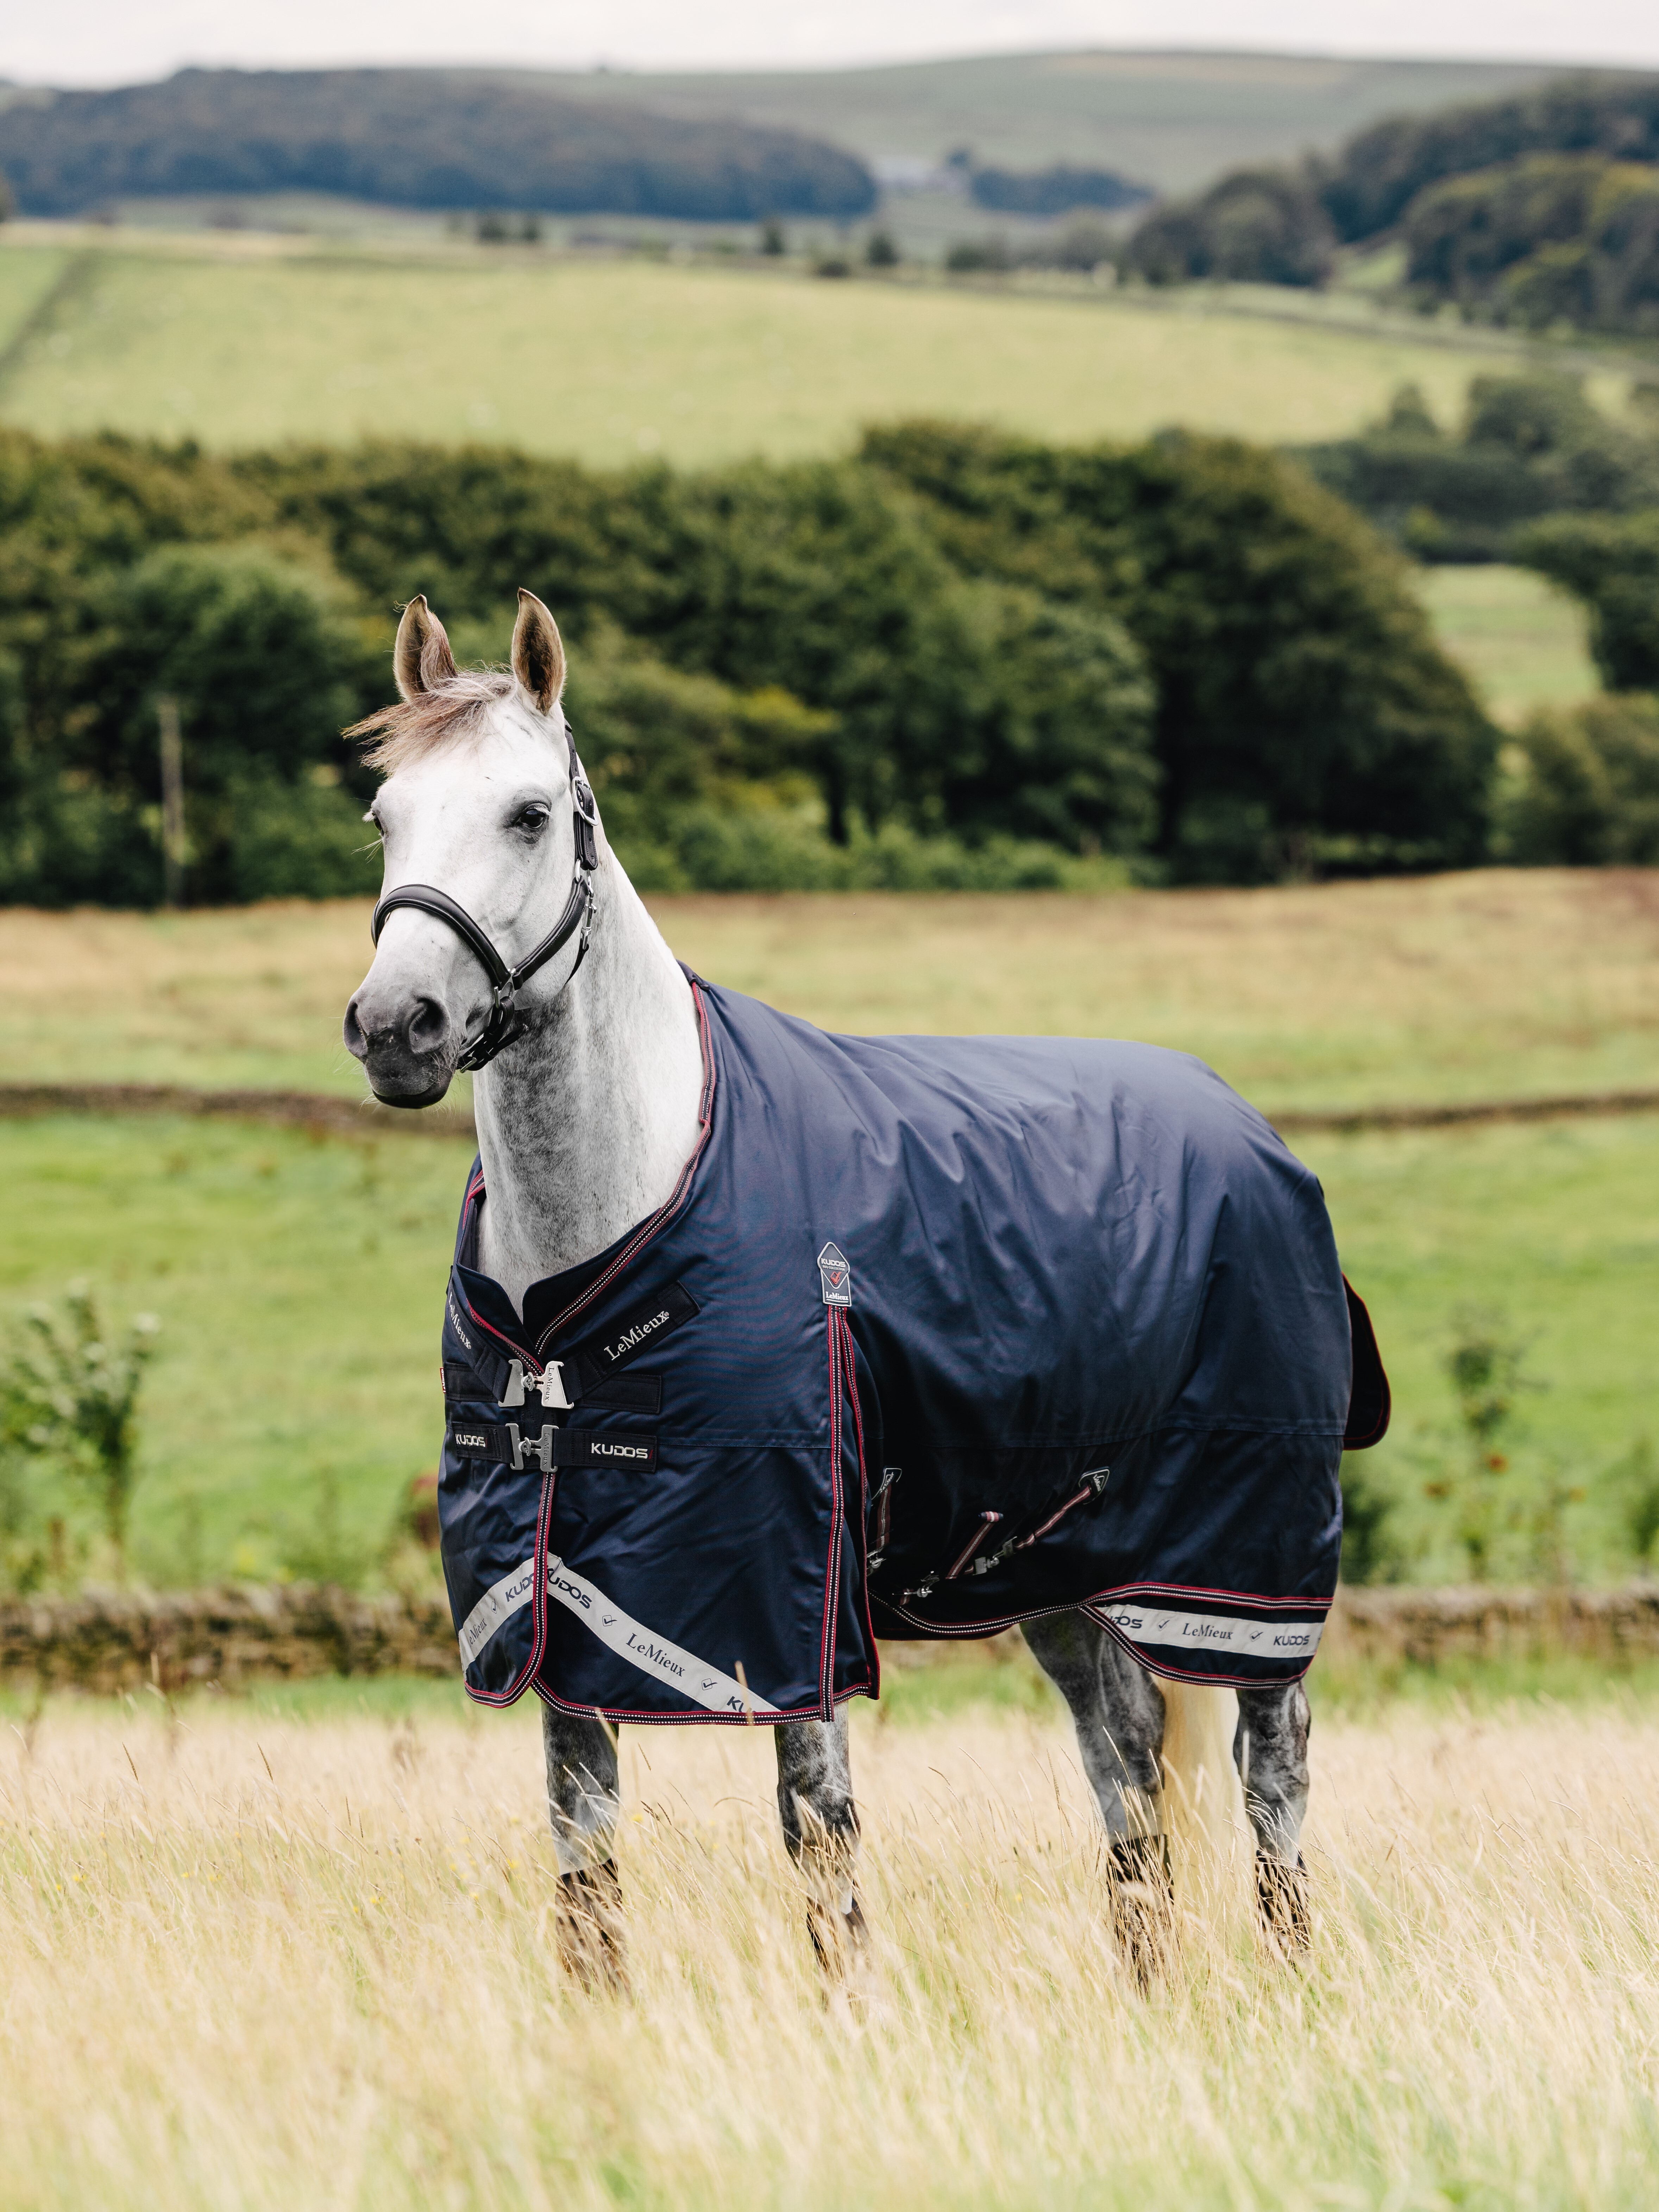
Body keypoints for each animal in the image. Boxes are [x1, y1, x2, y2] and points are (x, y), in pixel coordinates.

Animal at [345, 589, 1367, 1981]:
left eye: (529, 813)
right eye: (383, 815)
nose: (395, 1026)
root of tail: (1251, 1132)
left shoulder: (788, 1592)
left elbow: (817, 1835)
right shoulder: (557, 1598)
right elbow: (583, 1848)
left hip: (1243, 1567)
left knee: (1273, 1778)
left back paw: (1289, 1980)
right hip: (1060, 1574)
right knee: (1128, 1776)